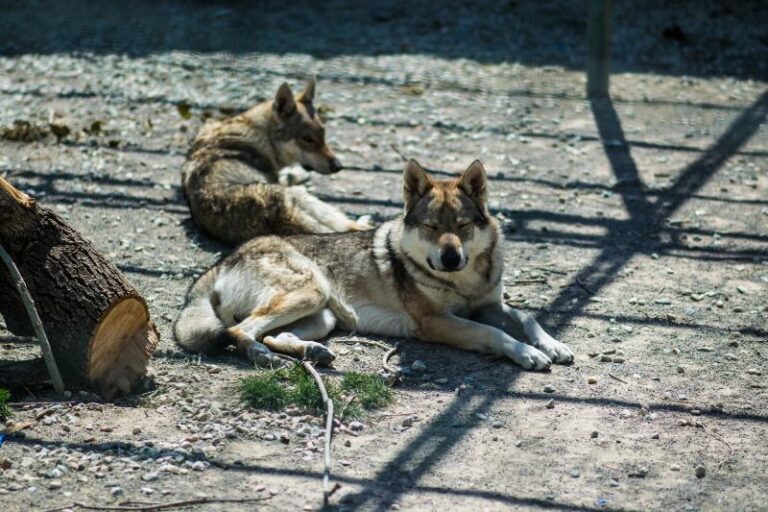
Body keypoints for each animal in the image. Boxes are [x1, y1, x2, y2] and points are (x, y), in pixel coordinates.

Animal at [175, 159, 574, 370]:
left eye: (462, 226)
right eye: (431, 227)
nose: (451, 257)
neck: (465, 281)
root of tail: (223, 260)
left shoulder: (489, 305)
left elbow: (527, 318)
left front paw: (553, 346)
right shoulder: (436, 322)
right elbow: (495, 334)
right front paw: (528, 353)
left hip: (324, 316)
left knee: (274, 335)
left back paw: (313, 353)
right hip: (310, 292)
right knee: (241, 332)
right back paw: (263, 356)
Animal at [181, 78, 370, 246]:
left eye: (323, 134)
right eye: (307, 139)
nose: (338, 166)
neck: (263, 137)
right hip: (306, 199)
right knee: (350, 226)